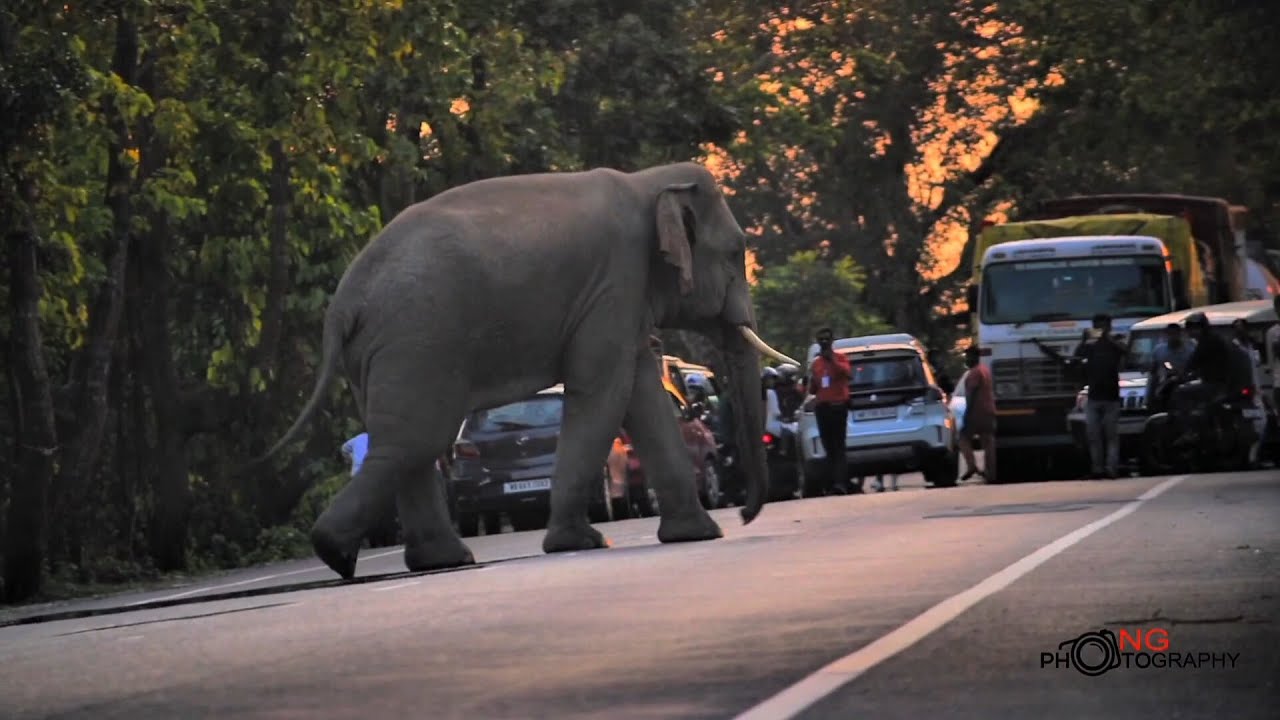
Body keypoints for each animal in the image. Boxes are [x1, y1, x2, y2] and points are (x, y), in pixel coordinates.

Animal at [257, 161, 799, 580]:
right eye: (735, 252)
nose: (745, 515)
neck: (647, 181)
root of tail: (342, 304)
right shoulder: (614, 283)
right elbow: (602, 390)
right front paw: (581, 543)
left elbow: (639, 389)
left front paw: (697, 534)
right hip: (417, 338)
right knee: (416, 438)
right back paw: (338, 553)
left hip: (381, 351)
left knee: (406, 442)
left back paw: (437, 561)